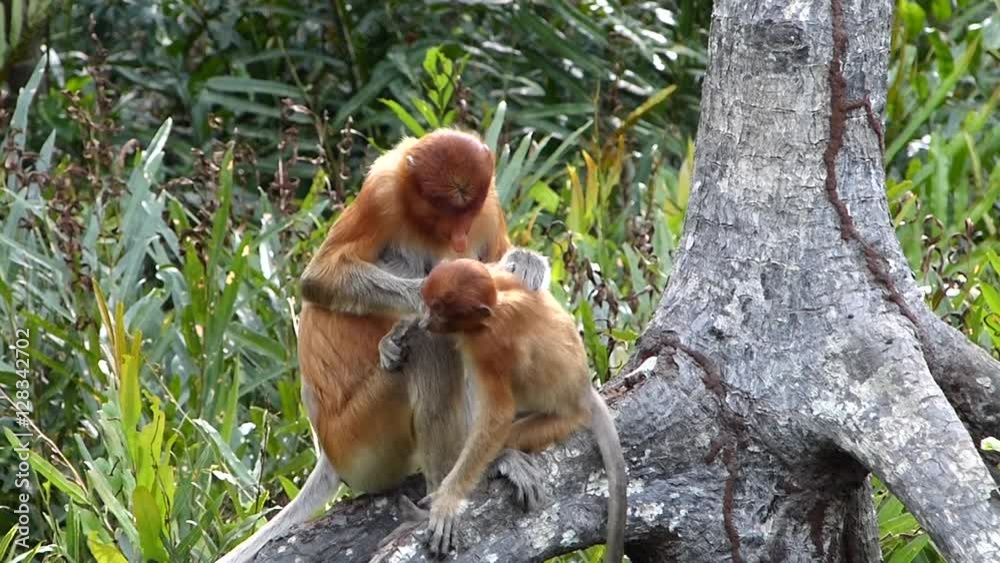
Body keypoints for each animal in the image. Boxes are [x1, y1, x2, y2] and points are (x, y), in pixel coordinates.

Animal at [215, 130, 545, 563]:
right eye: (442, 211)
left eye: (466, 213)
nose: (458, 237)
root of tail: (328, 454)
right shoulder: (382, 195)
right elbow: (320, 279)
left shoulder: (487, 208)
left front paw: (527, 264)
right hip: (360, 440)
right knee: (428, 343)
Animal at [383, 252, 627, 562]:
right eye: (428, 304)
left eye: (438, 310)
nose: (426, 321)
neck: (498, 300)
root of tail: (583, 391)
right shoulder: (494, 275)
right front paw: (394, 337)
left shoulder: (486, 343)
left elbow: (498, 414)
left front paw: (446, 501)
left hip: (560, 419)